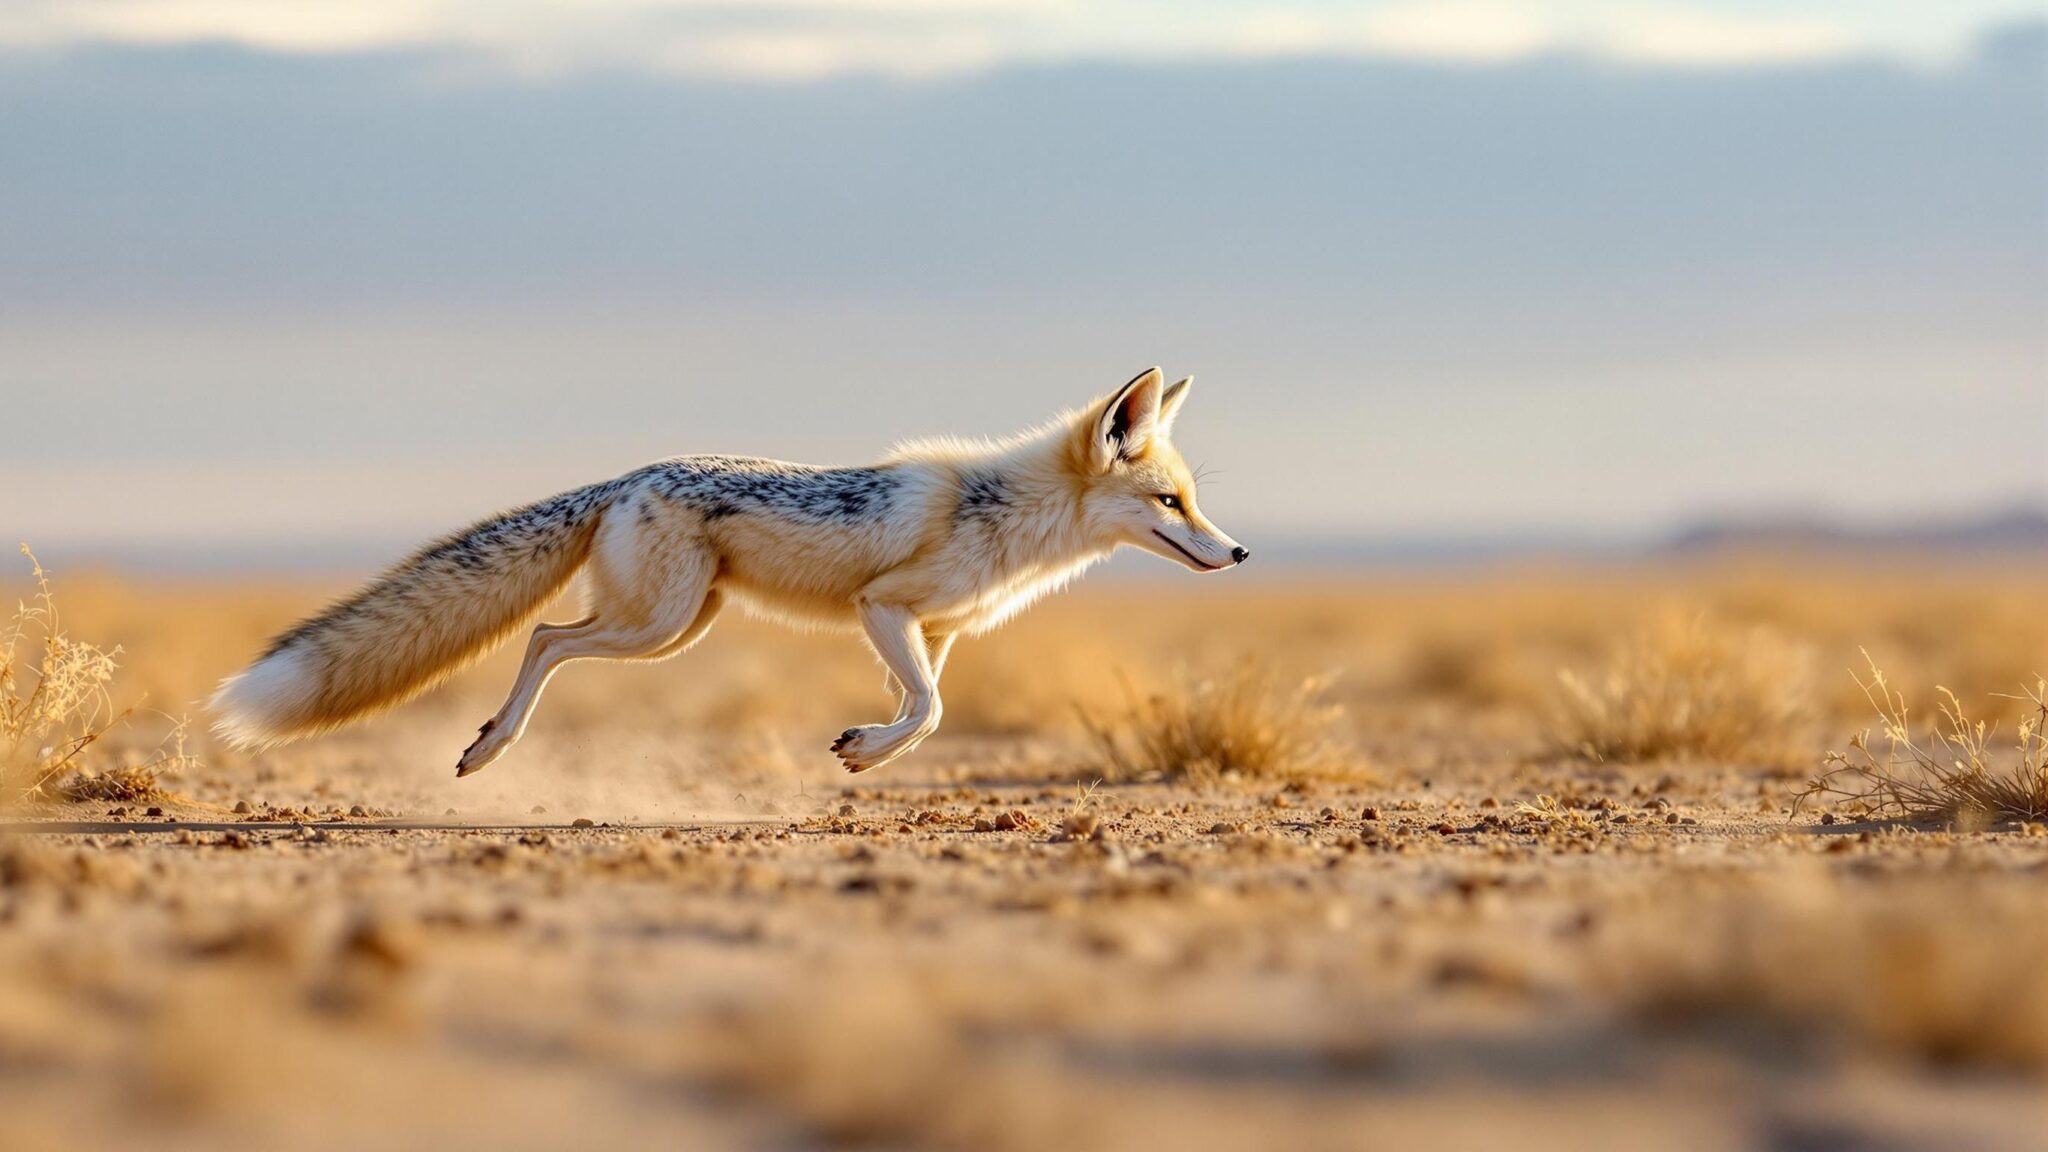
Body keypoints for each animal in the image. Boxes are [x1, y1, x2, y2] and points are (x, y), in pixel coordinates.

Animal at [210, 367, 1247, 776]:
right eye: (1170, 504)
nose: (1239, 553)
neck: (1008, 513)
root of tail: (626, 476)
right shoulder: (882, 606)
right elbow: (931, 710)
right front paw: (867, 748)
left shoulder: (934, 632)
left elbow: (922, 708)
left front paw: (868, 749)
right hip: (660, 627)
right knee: (546, 636)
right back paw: (493, 745)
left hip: (685, 622)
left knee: (548, 635)